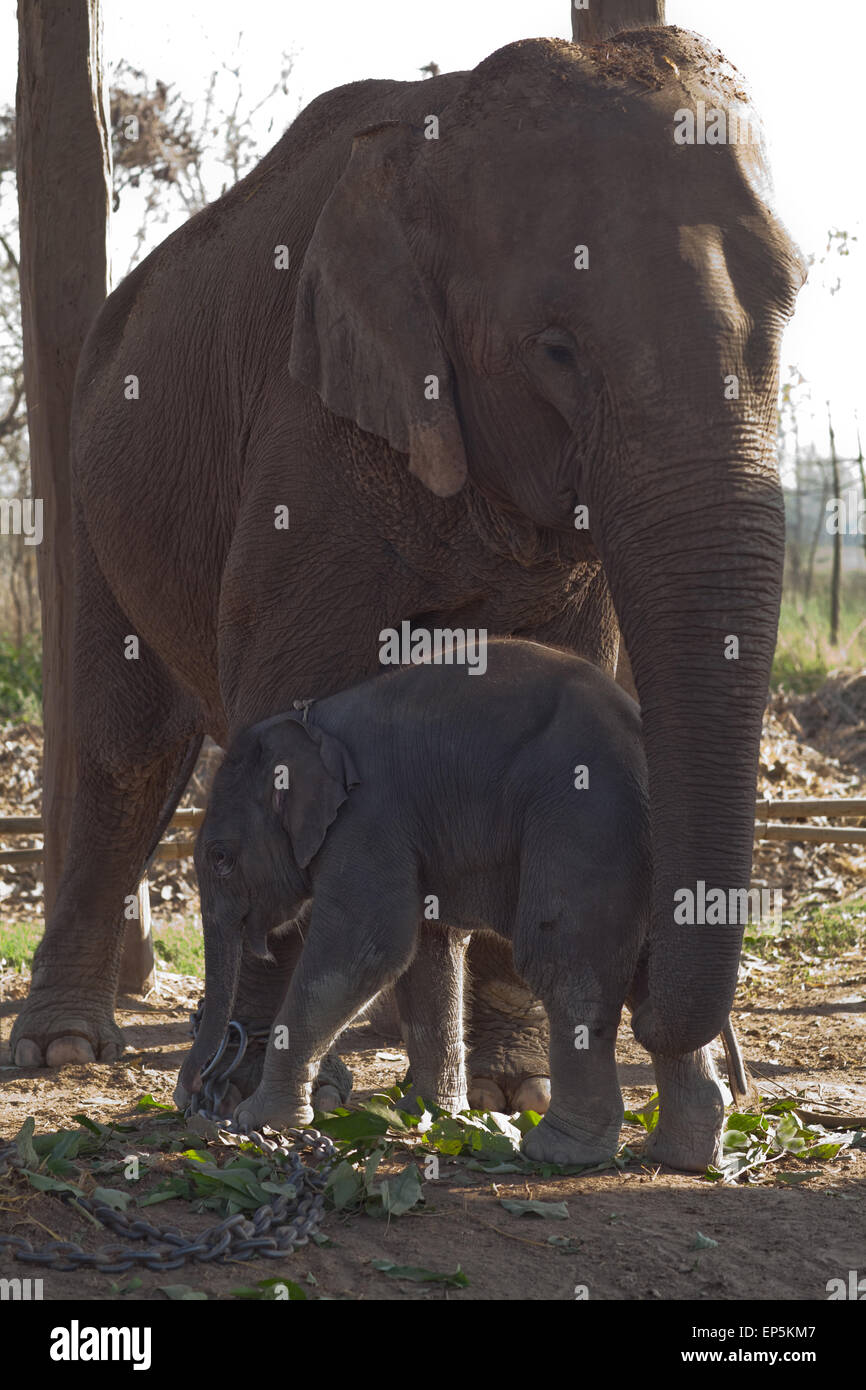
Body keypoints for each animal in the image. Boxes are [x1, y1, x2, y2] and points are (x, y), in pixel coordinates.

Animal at [175, 639, 739, 1170]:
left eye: (221, 857)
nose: (195, 1098)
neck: (311, 722)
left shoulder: (368, 819)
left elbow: (365, 948)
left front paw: (259, 1121)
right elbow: (426, 949)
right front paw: (430, 1115)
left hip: (586, 818)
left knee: (564, 964)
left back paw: (557, 1151)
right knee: (650, 976)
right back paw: (683, 1155)